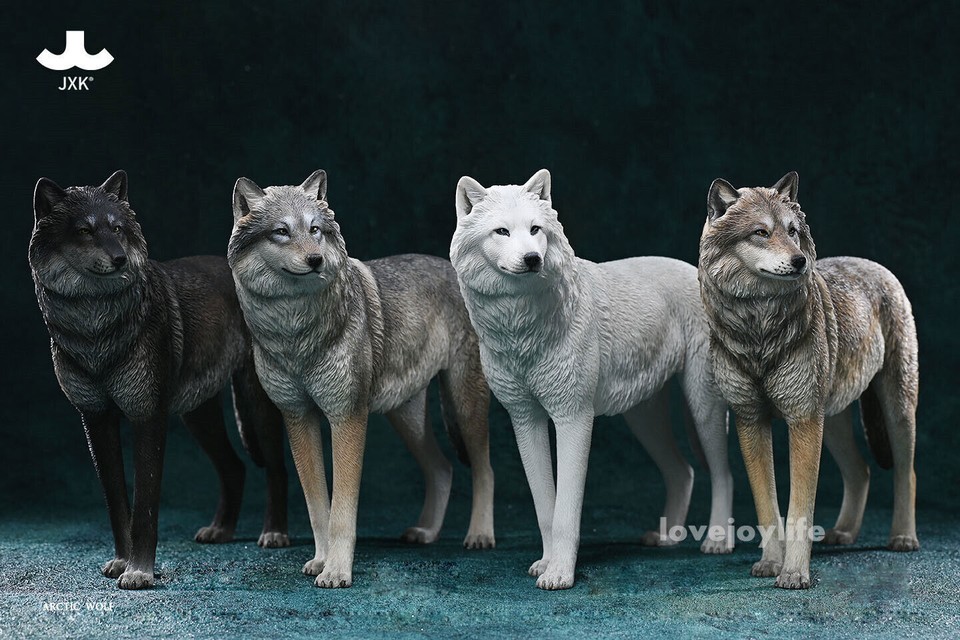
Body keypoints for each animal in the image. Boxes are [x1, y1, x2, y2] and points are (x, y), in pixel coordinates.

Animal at [28, 171, 289, 590]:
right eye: (84, 231)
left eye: (117, 229)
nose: (119, 258)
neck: (95, 327)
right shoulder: (97, 419)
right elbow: (116, 500)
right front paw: (121, 562)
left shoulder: (147, 417)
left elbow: (146, 503)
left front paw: (139, 572)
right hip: (198, 415)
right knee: (234, 467)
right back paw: (220, 531)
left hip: (255, 403)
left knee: (277, 468)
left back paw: (275, 534)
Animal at [228, 170, 495, 589]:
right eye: (281, 232)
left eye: (315, 230)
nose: (316, 259)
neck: (294, 333)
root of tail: (457, 272)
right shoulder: (299, 419)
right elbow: (317, 506)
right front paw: (320, 562)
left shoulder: (347, 417)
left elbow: (341, 510)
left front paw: (337, 571)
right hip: (406, 418)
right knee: (443, 468)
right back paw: (425, 532)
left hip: (464, 405)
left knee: (484, 469)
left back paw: (480, 536)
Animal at [450, 169, 734, 590]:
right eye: (502, 231)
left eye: (535, 230)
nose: (532, 259)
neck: (520, 328)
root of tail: (694, 270)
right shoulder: (525, 420)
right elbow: (545, 508)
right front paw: (546, 563)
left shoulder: (573, 418)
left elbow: (566, 511)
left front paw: (560, 575)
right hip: (644, 419)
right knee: (683, 472)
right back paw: (668, 538)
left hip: (703, 408)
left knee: (722, 473)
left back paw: (717, 541)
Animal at [698, 172, 919, 589]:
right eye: (761, 233)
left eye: (793, 231)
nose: (800, 261)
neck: (759, 329)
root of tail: (875, 265)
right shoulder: (752, 421)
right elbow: (767, 505)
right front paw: (771, 563)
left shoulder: (802, 420)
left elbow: (800, 506)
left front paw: (795, 573)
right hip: (830, 422)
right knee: (861, 471)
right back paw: (843, 533)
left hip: (895, 410)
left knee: (906, 471)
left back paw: (903, 537)